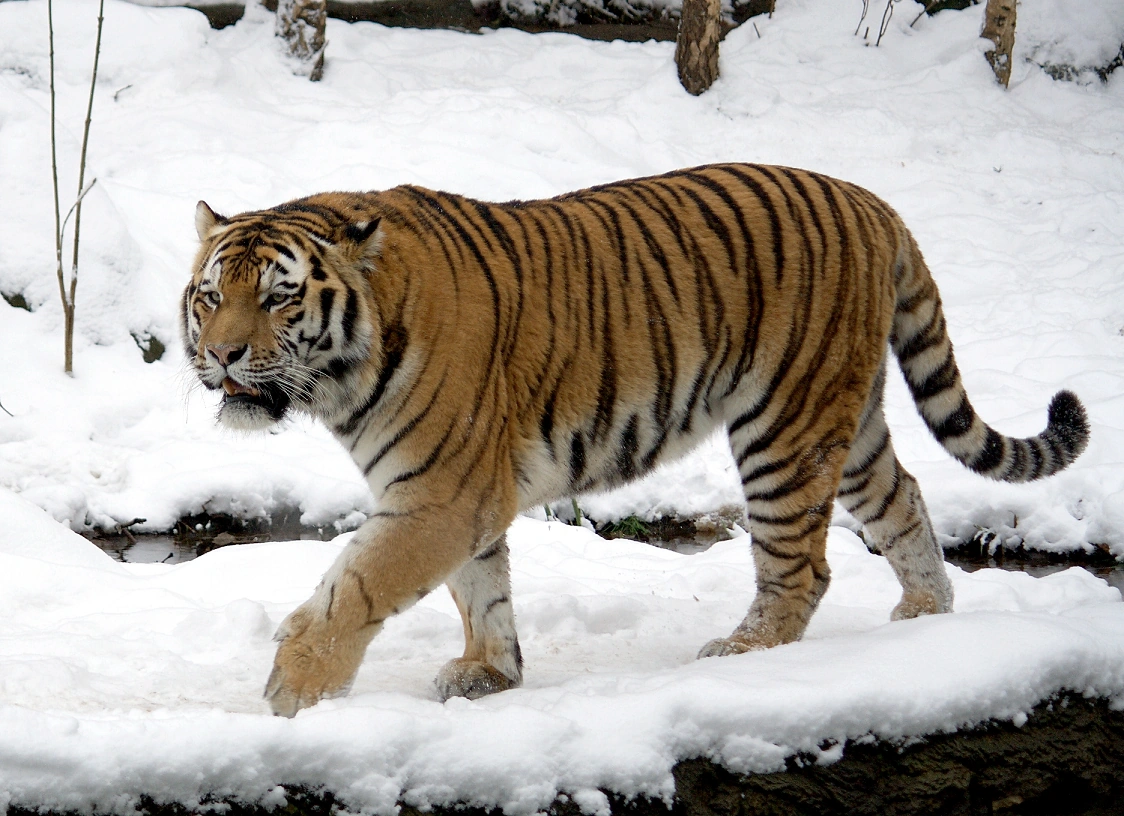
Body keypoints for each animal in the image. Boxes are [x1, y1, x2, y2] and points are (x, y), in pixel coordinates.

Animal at [181, 163, 1089, 718]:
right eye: (210, 296)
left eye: (278, 297)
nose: (220, 354)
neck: (343, 374)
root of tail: (874, 203)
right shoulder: (456, 495)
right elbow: (481, 589)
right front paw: (490, 673)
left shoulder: (441, 494)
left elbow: (357, 587)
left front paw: (293, 691)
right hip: (847, 418)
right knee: (902, 498)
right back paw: (923, 619)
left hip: (784, 426)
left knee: (802, 564)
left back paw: (742, 654)